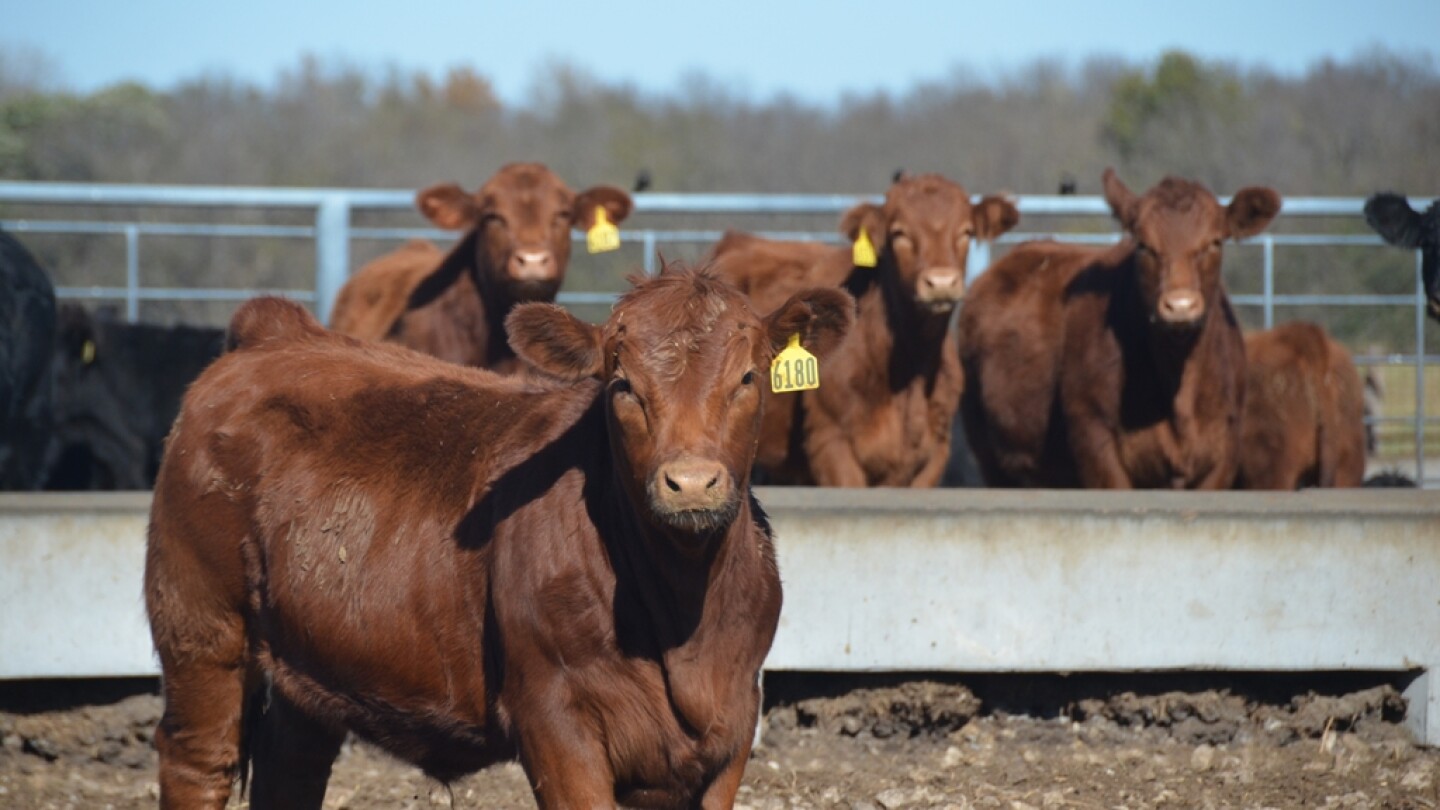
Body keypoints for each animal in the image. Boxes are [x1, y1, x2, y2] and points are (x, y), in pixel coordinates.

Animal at [144, 267, 853, 809]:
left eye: (748, 379)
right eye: (622, 384)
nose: (691, 483)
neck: (684, 627)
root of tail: (276, 333)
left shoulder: (732, 727)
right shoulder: (557, 723)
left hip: (308, 658)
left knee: (292, 768)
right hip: (200, 627)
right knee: (199, 761)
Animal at [959, 169, 1281, 489]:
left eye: (1214, 242)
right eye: (1143, 245)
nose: (1180, 305)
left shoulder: (1225, 452)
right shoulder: (1095, 442)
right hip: (994, 457)